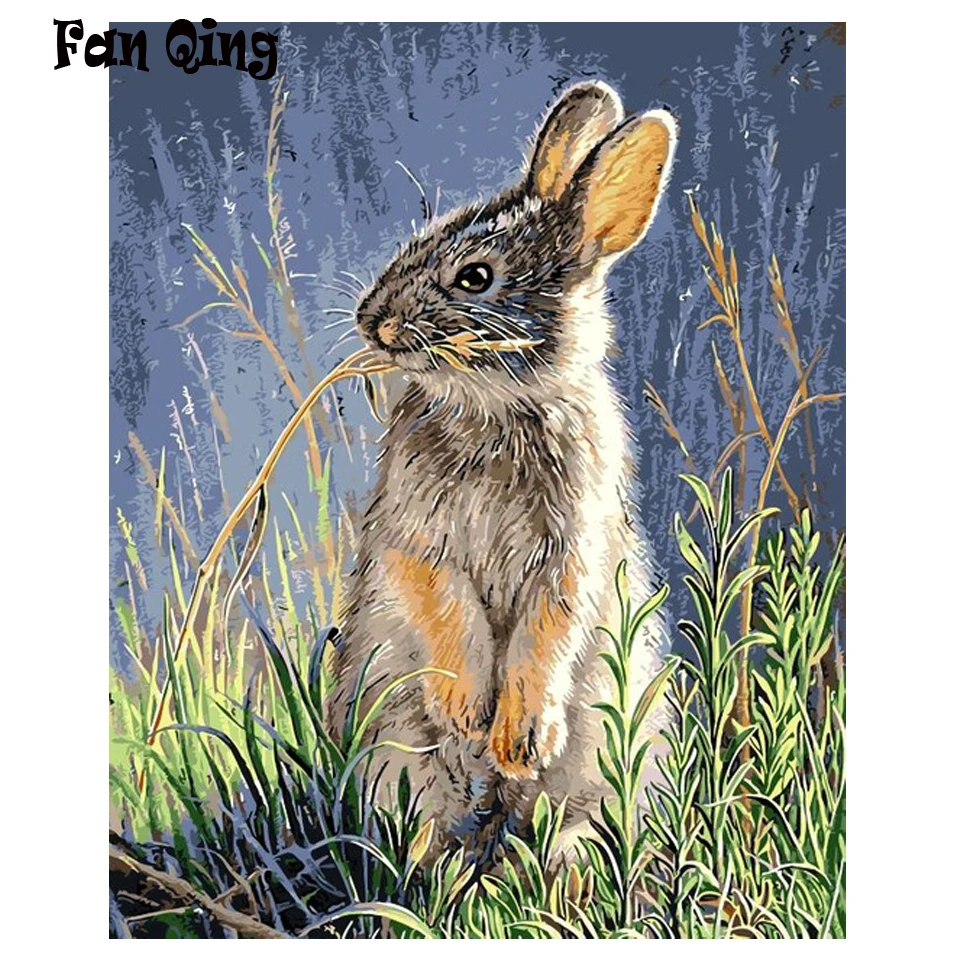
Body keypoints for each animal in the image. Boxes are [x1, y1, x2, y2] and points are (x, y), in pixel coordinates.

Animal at [329, 81, 678, 866]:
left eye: (476, 278)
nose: (372, 321)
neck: (497, 409)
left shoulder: (571, 550)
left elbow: (546, 635)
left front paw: (518, 738)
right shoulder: (415, 534)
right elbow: (445, 605)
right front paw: (468, 712)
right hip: (395, 758)